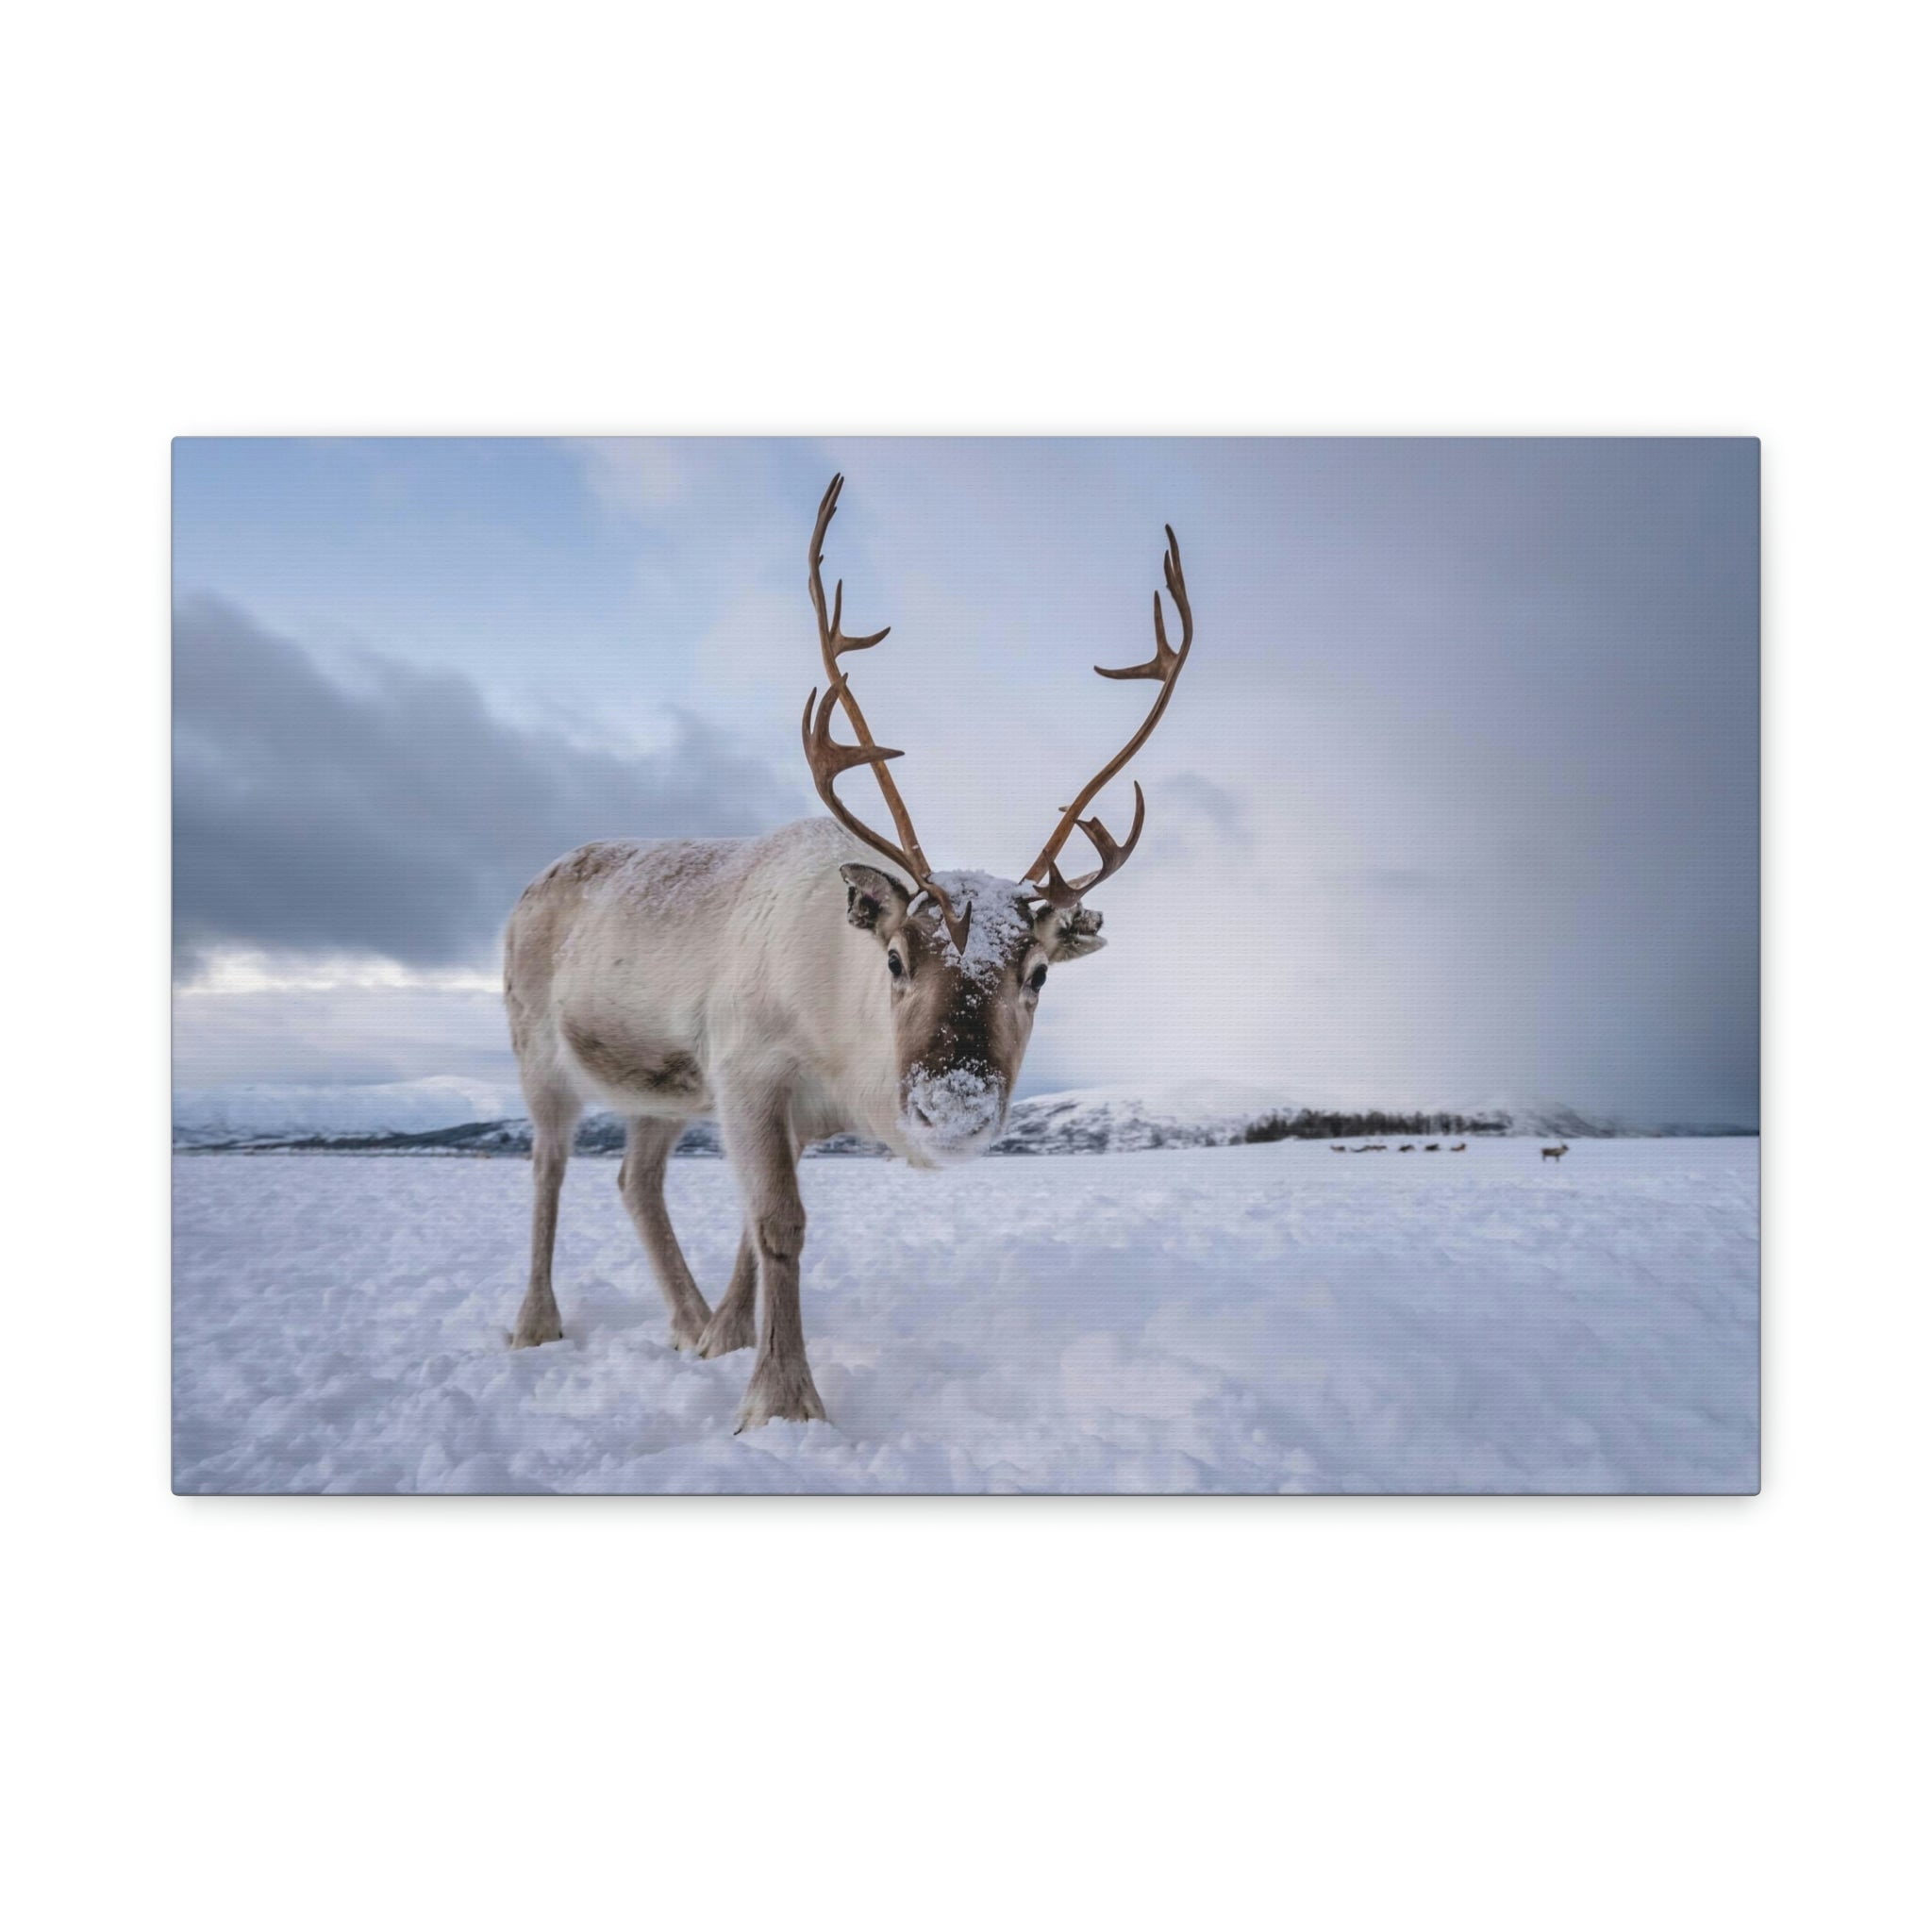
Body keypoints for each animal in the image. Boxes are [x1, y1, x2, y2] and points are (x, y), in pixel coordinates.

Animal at [501, 476, 1196, 1428]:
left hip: (661, 1093)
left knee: (635, 1182)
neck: (841, 1046)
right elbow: (779, 1226)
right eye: (896, 959)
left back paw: (686, 1322)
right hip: (539, 1051)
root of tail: (532, 885)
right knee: (548, 1169)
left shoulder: (780, 1110)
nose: (953, 1105)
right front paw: (782, 1402)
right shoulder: (749, 1072)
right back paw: (536, 1324)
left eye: (1039, 972)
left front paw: (727, 1341)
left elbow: (753, 1231)